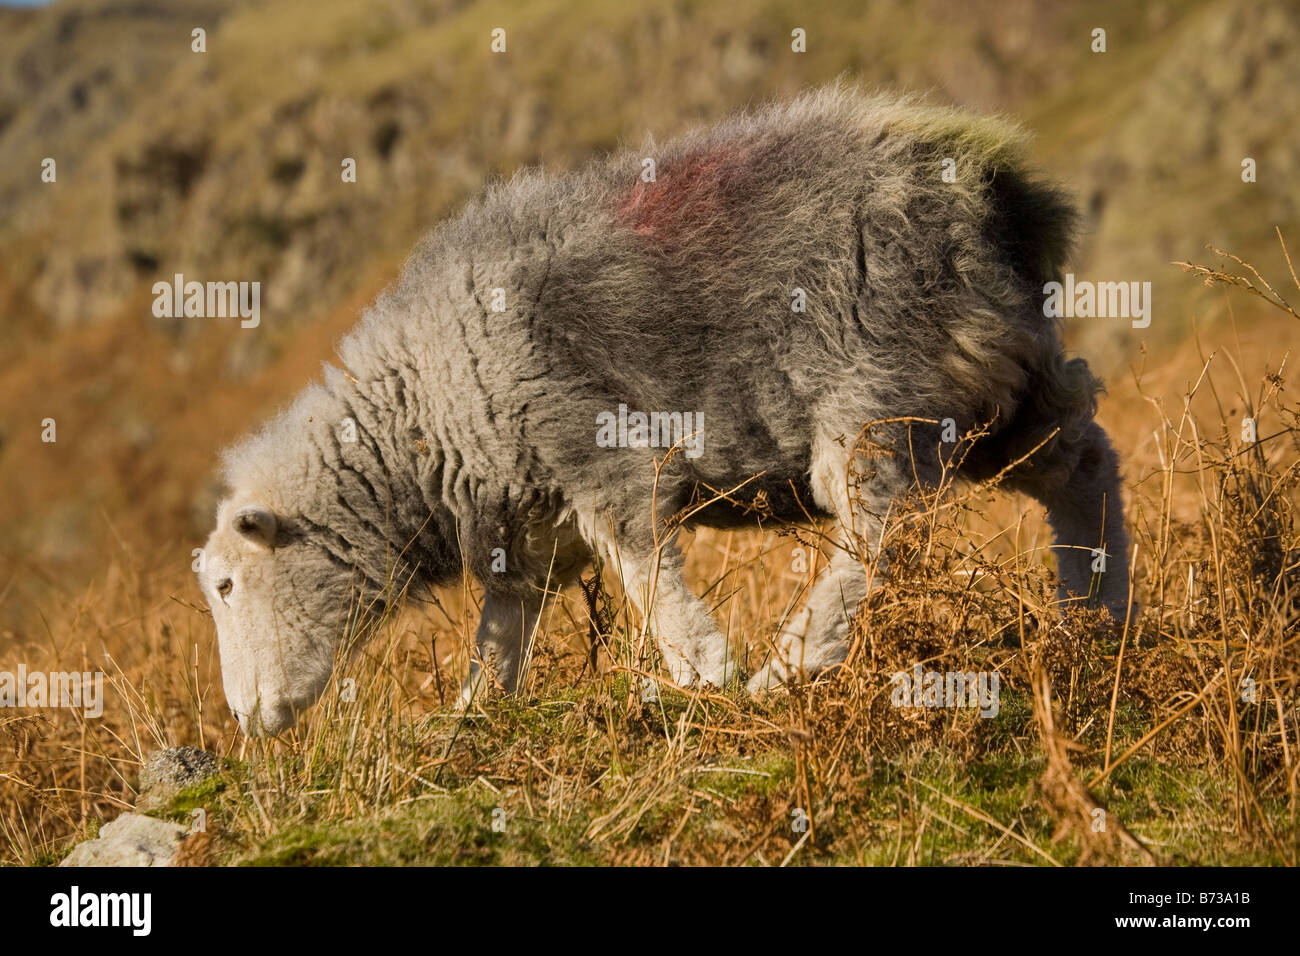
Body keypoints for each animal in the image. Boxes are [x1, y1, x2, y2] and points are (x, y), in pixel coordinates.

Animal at [197, 86, 1129, 735]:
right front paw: (469, 718)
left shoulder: (589, 450)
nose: (243, 721)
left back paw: (790, 668)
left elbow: (647, 577)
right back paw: (1098, 615)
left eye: (227, 585)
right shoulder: (526, 522)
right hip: (1000, 374)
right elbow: (500, 635)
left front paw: (706, 673)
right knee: (1083, 464)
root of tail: (988, 184)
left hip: (875, 379)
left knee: (879, 530)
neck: (419, 414)